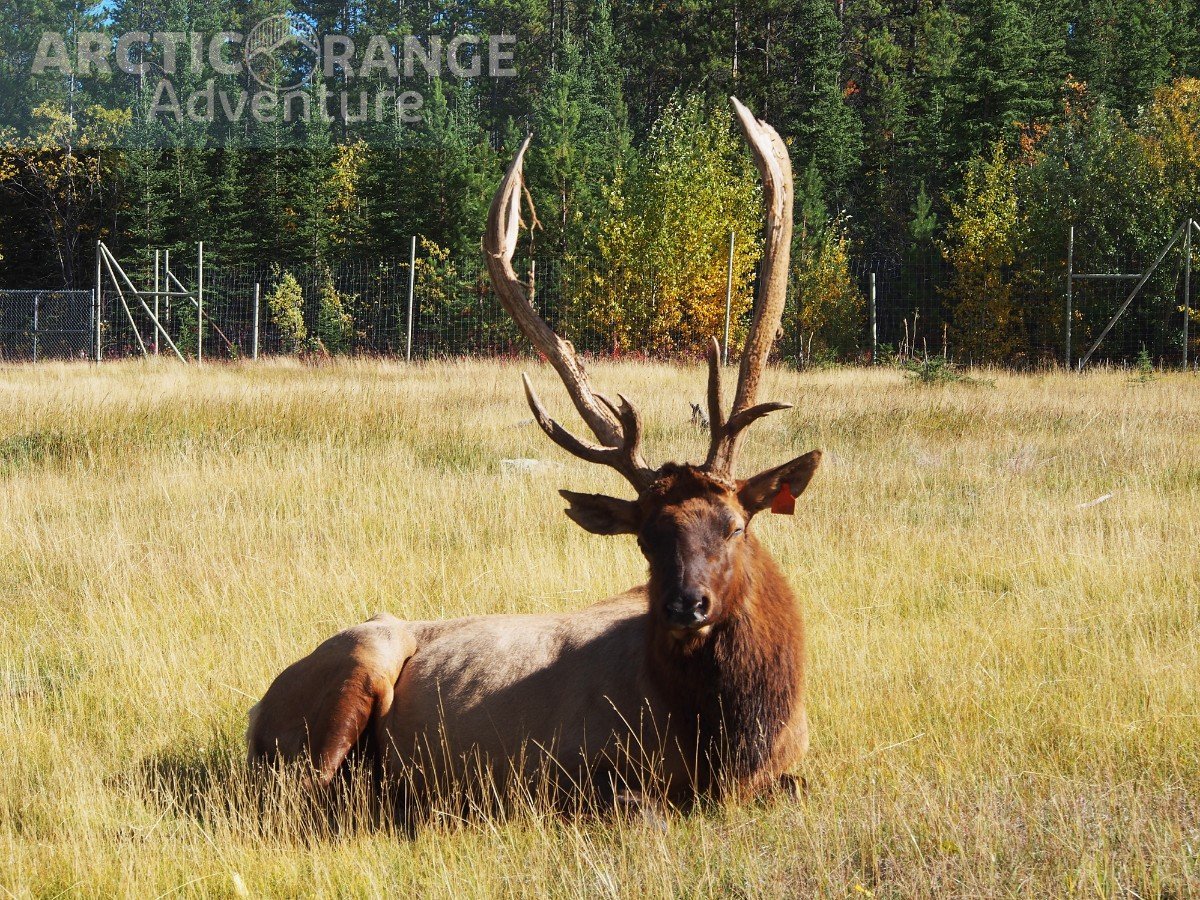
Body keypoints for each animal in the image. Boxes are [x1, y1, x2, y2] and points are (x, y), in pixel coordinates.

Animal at [246, 97, 822, 816]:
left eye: (737, 525)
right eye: (645, 538)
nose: (686, 606)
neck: (735, 740)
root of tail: (253, 714)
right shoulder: (575, 766)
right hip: (358, 663)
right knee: (309, 792)